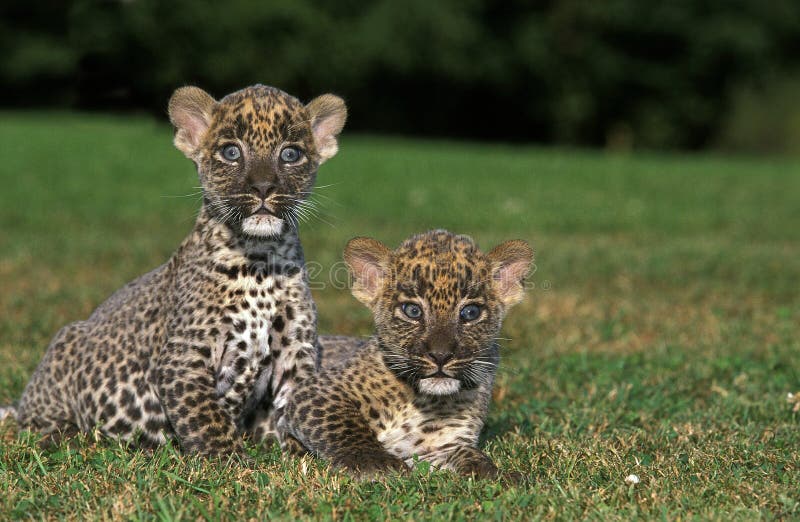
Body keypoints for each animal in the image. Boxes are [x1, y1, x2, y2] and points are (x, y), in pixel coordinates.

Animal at [0, 84, 347, 456]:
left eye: (290, 154)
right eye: (231, 152)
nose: (264, 187)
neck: (261, 261)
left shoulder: (296, 351)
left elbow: (297, 405)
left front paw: (303, 455)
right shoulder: (183, 356)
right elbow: (206, 417)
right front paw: (230, 458)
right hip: (63, 350)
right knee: (36, 420)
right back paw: (62, 436)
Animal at [285, 229, 533, 479]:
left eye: (470, 313)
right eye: (412, 311)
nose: (440, 355)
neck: (419, 398)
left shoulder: (437, 446)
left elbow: (467, 455)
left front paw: (496, 474)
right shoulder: (314, 390)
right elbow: (340, 424)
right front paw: (372, 461)